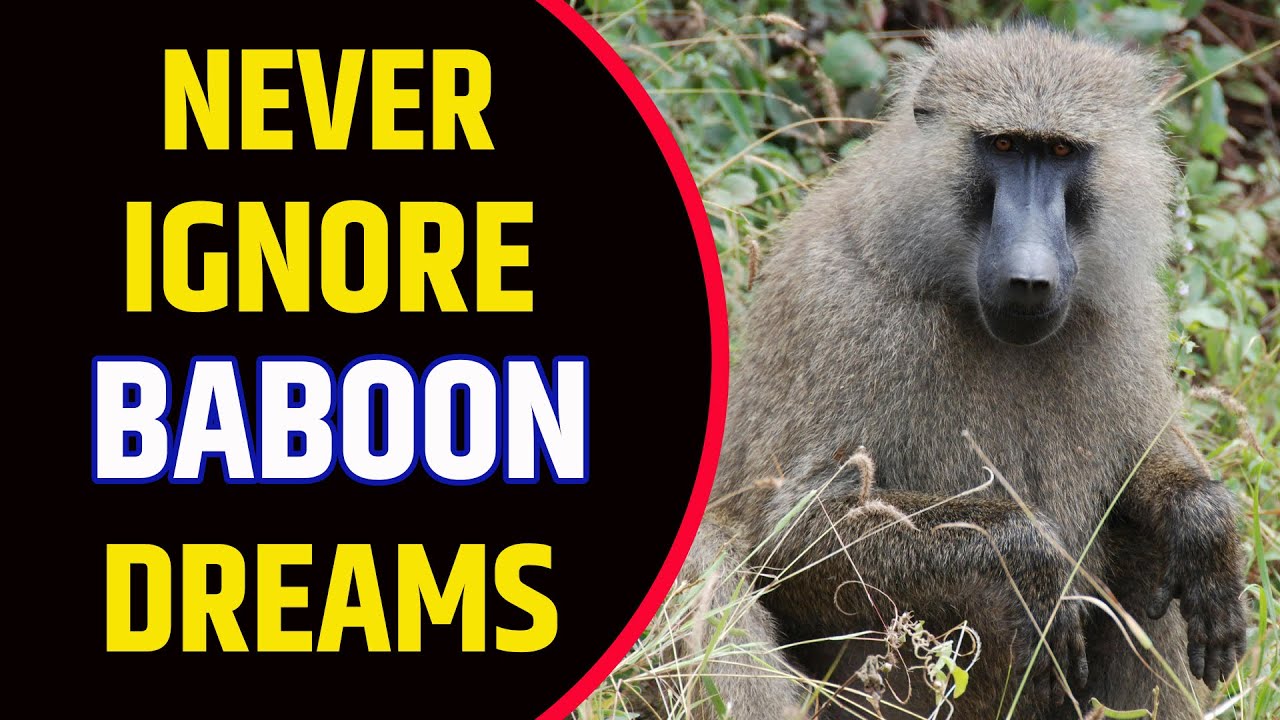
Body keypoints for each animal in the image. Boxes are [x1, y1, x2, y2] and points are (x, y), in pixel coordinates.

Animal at [687, 24, 1249, 720]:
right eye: (1003, 146)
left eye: (1060, 150)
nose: (1029, 277)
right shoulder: (849, 314)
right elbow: (792, 532)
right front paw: (1035, 555)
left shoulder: (1129, 318)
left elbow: (1149, 468)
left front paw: (1203, 522)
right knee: (708, 569)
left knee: (1150, 544)